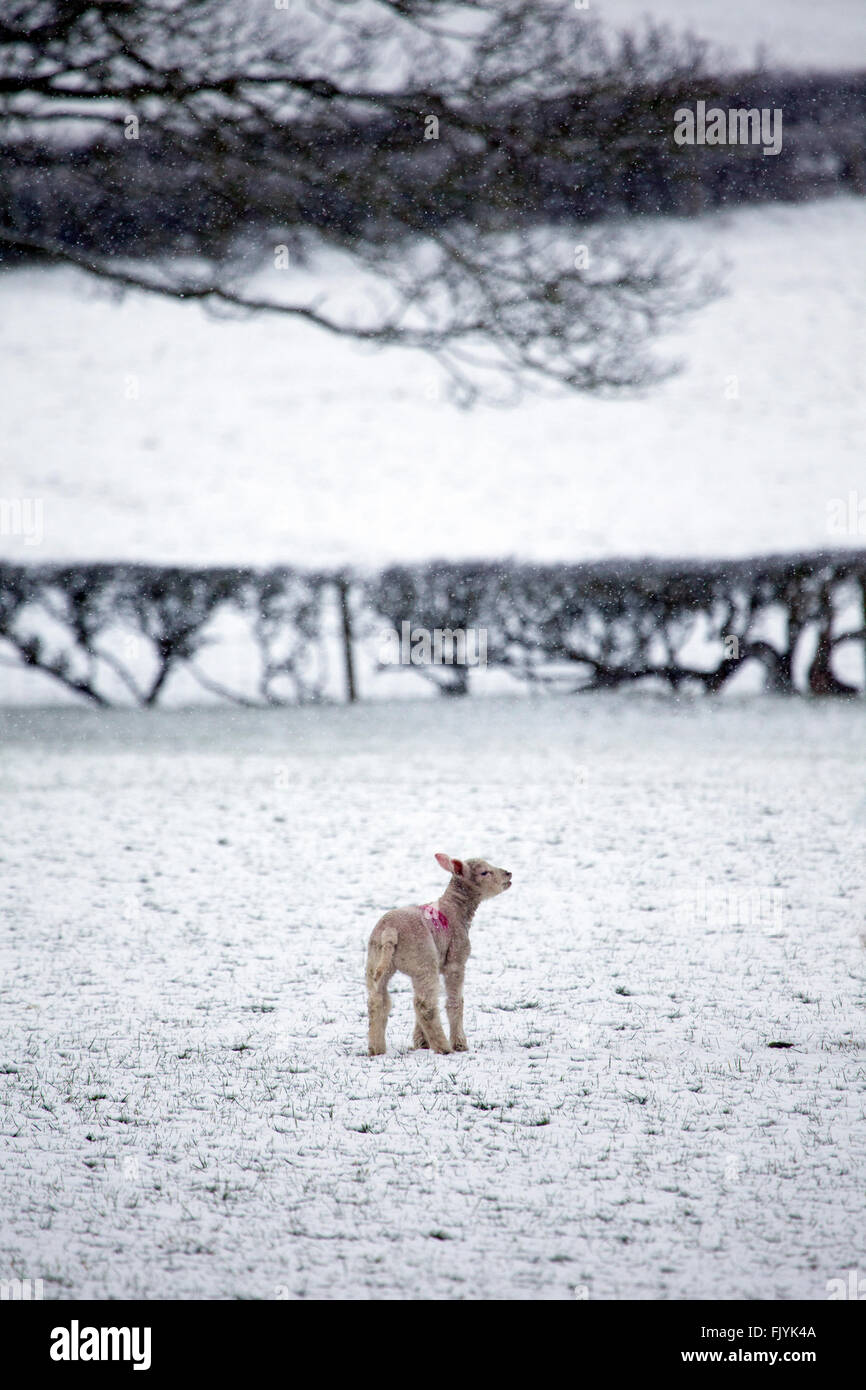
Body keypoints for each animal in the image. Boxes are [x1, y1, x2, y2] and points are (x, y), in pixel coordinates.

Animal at [366, 853, 512, 1056]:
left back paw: (376, 1048)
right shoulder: (456, 961)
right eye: (485, 872)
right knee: (425, 1005)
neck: (455, 909)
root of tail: (390, 931)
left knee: (378, 1001)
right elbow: (455, 1002)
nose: (508, 874)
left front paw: (421, 1042)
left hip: (377, 960)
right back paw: (443, 1047)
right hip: (423, 958)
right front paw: (459, 1044)